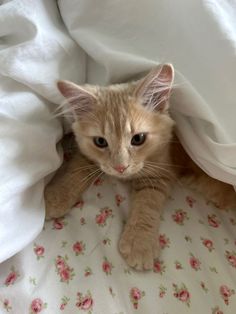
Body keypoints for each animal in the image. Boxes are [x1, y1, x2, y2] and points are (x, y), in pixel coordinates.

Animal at [44, 63, 236, 270]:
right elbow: (76, 170)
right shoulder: (88, 156)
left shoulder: (161, 172)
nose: (120, 168)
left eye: (138, 139)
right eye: (100, 142)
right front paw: (56, 197)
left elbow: (147, 203)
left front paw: (139, 242)